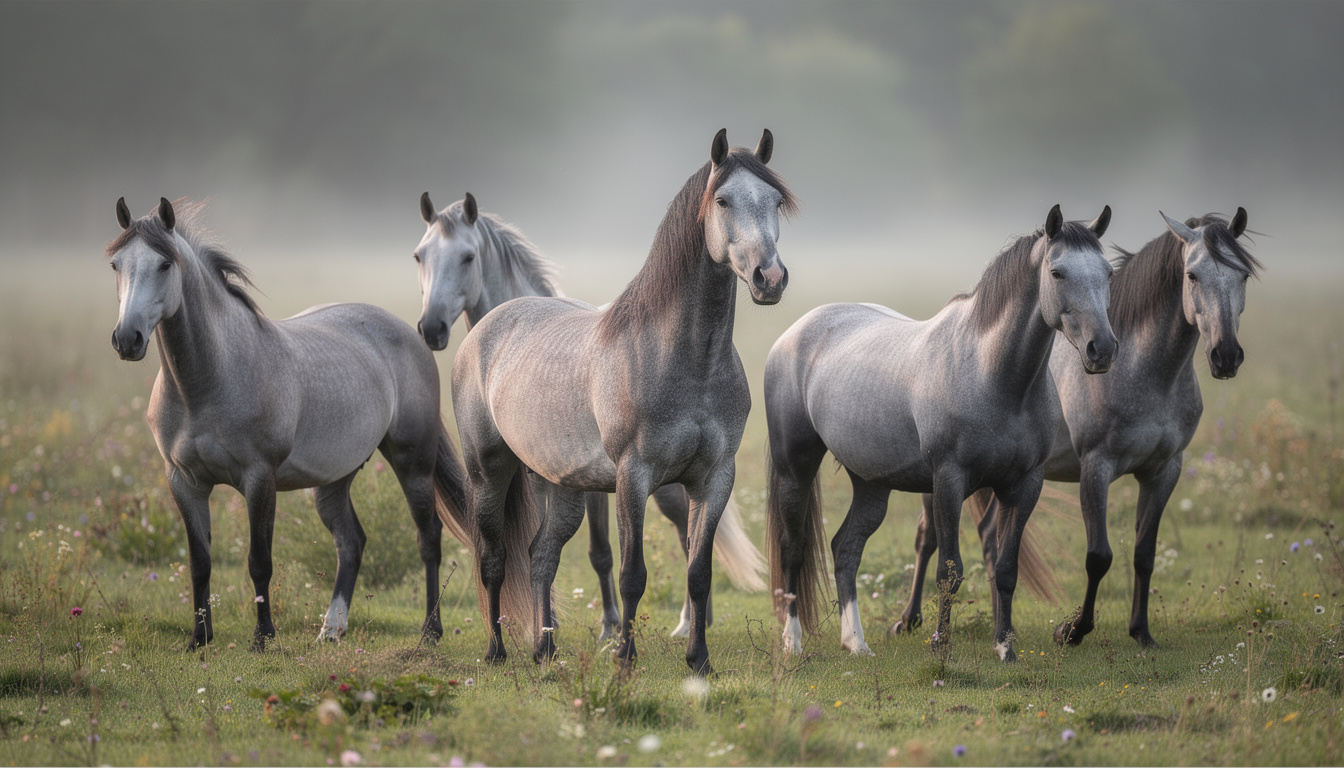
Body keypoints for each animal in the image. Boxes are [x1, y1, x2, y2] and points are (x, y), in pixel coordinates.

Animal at [106, 197, 473, 649]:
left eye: (163, 264)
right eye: (116, 264)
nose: (127, 339)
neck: (206, 383)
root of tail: (413, 332)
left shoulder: (259, 478)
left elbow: (259, 561)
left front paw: (263, 638)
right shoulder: (184, 481)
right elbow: (200, 563)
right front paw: (199, 639)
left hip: (413, 463)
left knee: (429, 539)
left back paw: (430, 631)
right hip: (334, 479)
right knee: (351, 542)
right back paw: (331, 630)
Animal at [410, 192, 765, 639]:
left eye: (468, 257)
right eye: (419, 256)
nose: (431, 328)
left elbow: (601, 552)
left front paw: (610, 625)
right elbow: (544, 549)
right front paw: (548, 624)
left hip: (667, 484)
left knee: (688, 533)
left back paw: (689, 622)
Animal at [450, 128, 796, 674]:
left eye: (775, 201)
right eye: (722, 200)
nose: (770, 278)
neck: (687, 362)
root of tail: (485, 328)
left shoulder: (714, 479)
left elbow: (699, 572)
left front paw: (699, 659)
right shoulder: (634, 476)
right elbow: (633, 573)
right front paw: (624, 658)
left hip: (560, 486)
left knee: (541, 557)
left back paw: (545, 650)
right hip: (488, 471)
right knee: (494, 558)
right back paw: (497, 651)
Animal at [765, 205, 1116, 661]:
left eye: (1108, 273)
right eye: (1057, 273)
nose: (1102, 350)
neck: (994, 377)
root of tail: (793, 334)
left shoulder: (1024, 485)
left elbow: (1005, 568)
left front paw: (1004, 646)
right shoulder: (949, 480)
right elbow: (950, 569)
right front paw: (940, 645)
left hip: (871, 484)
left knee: (846, 549)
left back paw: (856, 642)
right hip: (796, 467)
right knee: (793, 550)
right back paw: (793, 643)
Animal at [906, 209, 1260, 648]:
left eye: (1242, 275)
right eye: (1192, 275)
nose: (1226, 355)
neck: (1147, 374)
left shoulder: (1164, 470)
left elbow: (1144, 554)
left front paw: (1141, 632)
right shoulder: (1097, 467)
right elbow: (1099, 557)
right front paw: (1073, 630)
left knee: (989, 537)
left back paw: (1001, 627)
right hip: (940, 479)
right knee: (928, 538)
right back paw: (910, 620)